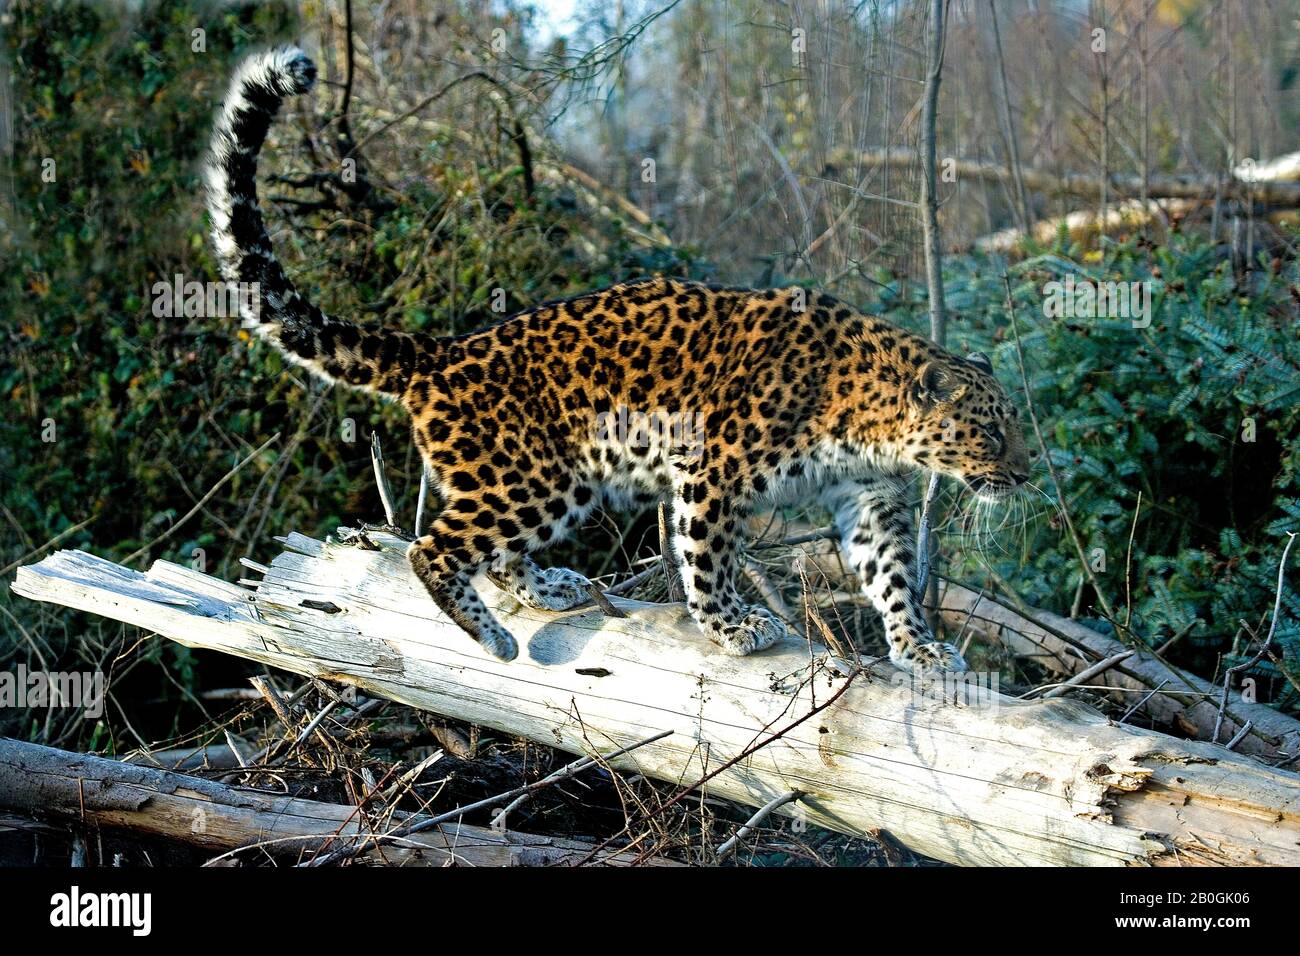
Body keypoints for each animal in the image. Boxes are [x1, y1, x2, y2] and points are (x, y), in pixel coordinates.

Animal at [205, 47, 1032, 674]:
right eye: (991, 432)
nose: (1023, 477)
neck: (871, 423)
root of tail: (442, 352)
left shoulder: (866, 498)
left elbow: (892, 578)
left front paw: (921, 650)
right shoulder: (714, 468)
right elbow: (706, 559)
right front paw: (734, 628)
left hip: (549, 484)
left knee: (494, 554)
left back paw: (548, 588)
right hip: (532, 477)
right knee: (433, 549)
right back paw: (494, 635)